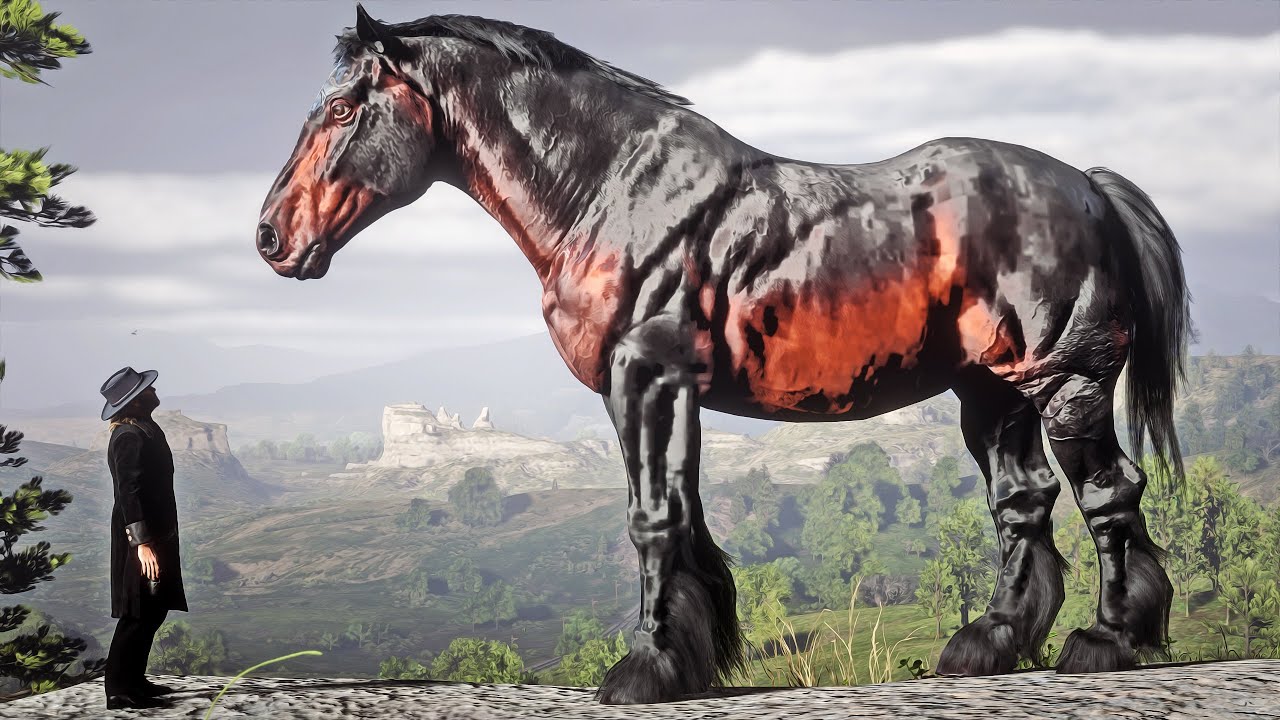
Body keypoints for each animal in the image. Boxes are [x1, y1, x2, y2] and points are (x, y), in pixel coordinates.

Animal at [257, 5, 1190, 704]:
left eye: (342, 110)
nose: (271, 237)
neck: (612, 191)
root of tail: (1087, 187)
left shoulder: (647, 377)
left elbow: (652, 520)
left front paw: (646, 668)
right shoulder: (653, 392)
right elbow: (678, 512)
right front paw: (692, 655)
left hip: (1065, 383)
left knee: (1108, 492)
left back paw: (1108, 639)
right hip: (992, 393)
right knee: (1023, 502)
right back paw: (989, 643)